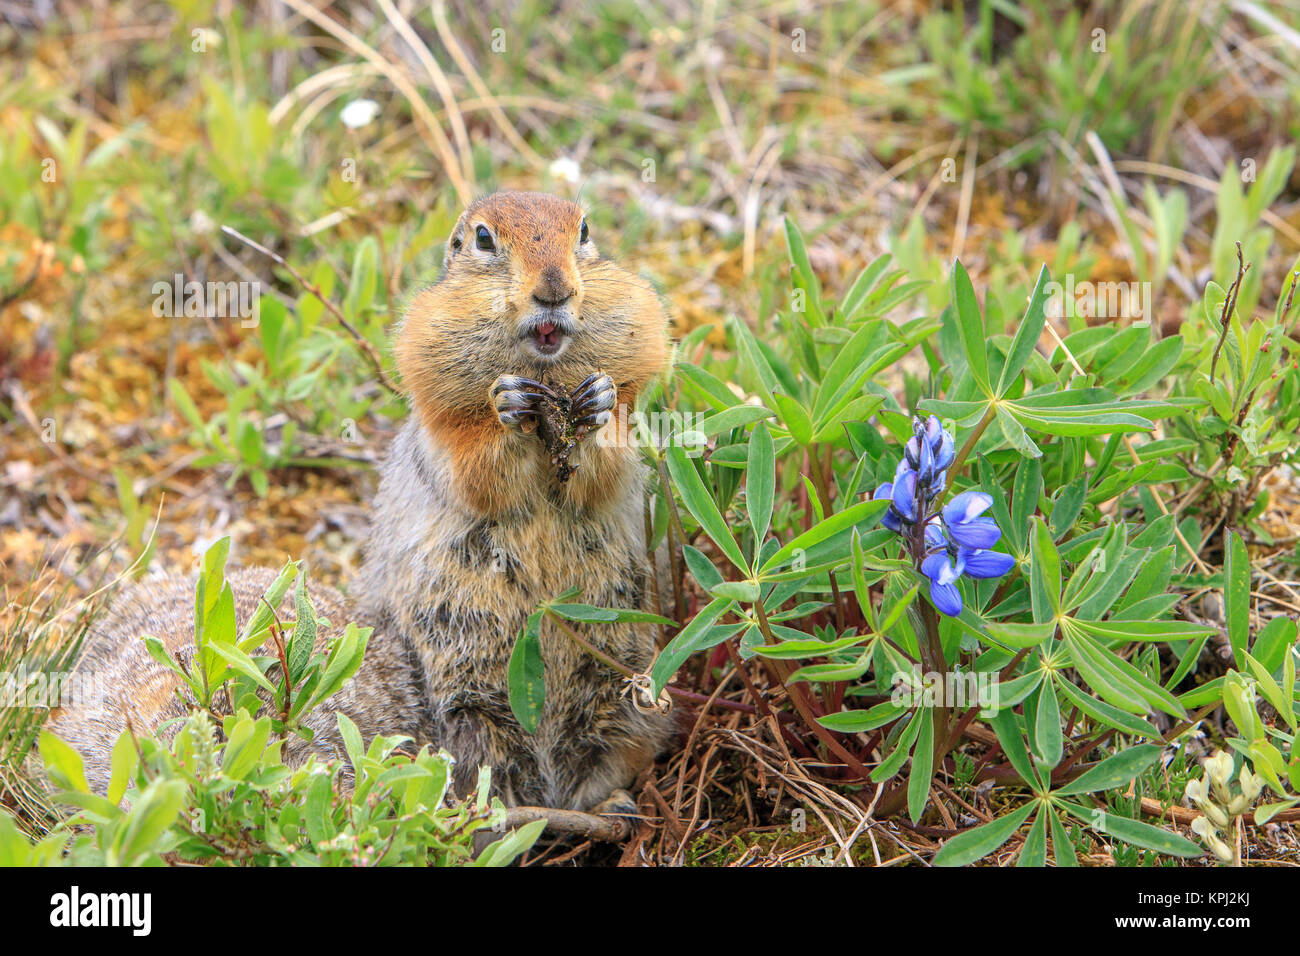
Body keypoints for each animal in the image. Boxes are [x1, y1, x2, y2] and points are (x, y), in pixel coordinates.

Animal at [43, 191, 673, 813]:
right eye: (484, 239)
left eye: (584, 230)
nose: (555, 290)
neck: (548, 383)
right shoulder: (443, 428)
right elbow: (478, 469)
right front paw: (507, 404)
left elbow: (611, 464)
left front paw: (598, 400)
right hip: (464, 697)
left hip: (624, 687)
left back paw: (608, 801)